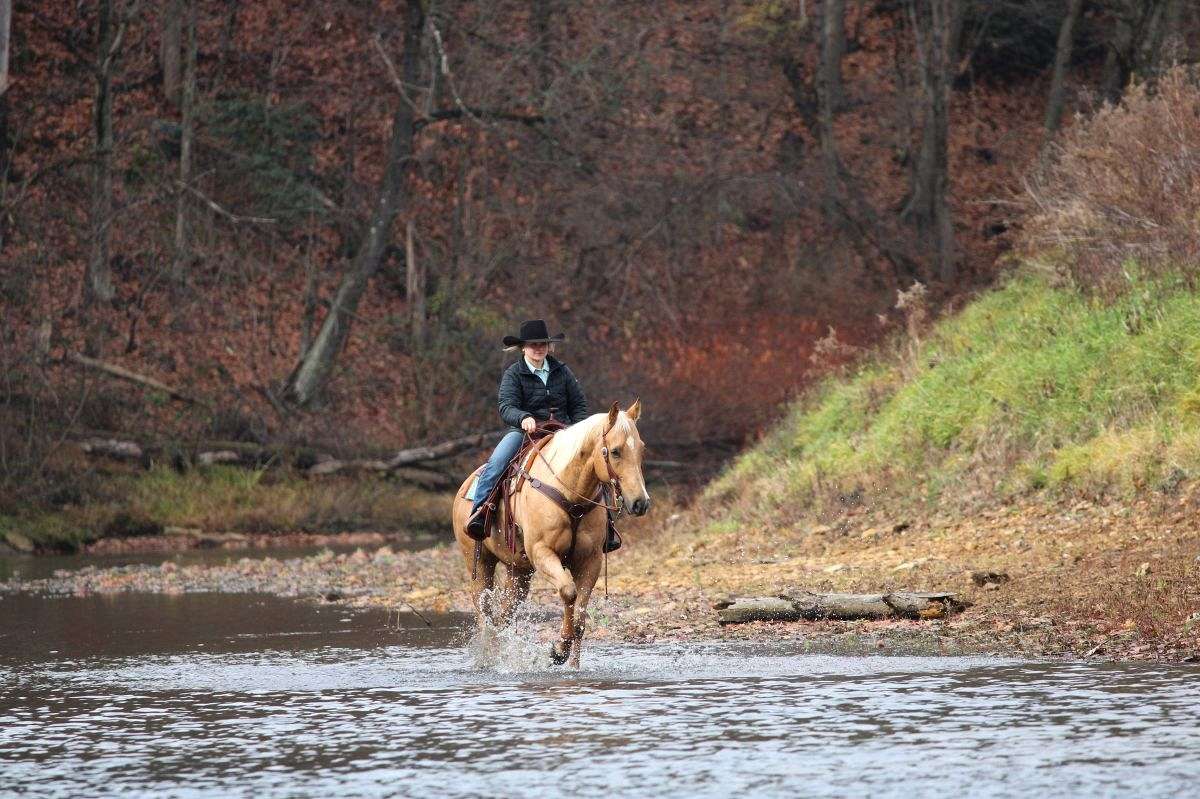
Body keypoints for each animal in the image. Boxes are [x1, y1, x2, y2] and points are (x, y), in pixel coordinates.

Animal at [452, 400, 650, 667]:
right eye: (616, 451)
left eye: (641, 449)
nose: (640, 502)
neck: (571, 494)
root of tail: (465, 486)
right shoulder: (542, 553)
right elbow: (568, 591)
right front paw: (559, 650)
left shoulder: (590, 561)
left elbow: (580, 618)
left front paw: (572, 663)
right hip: (480, 562)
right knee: (484, 611)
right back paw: (488, 658)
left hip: (520, 572)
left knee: (504, 613)